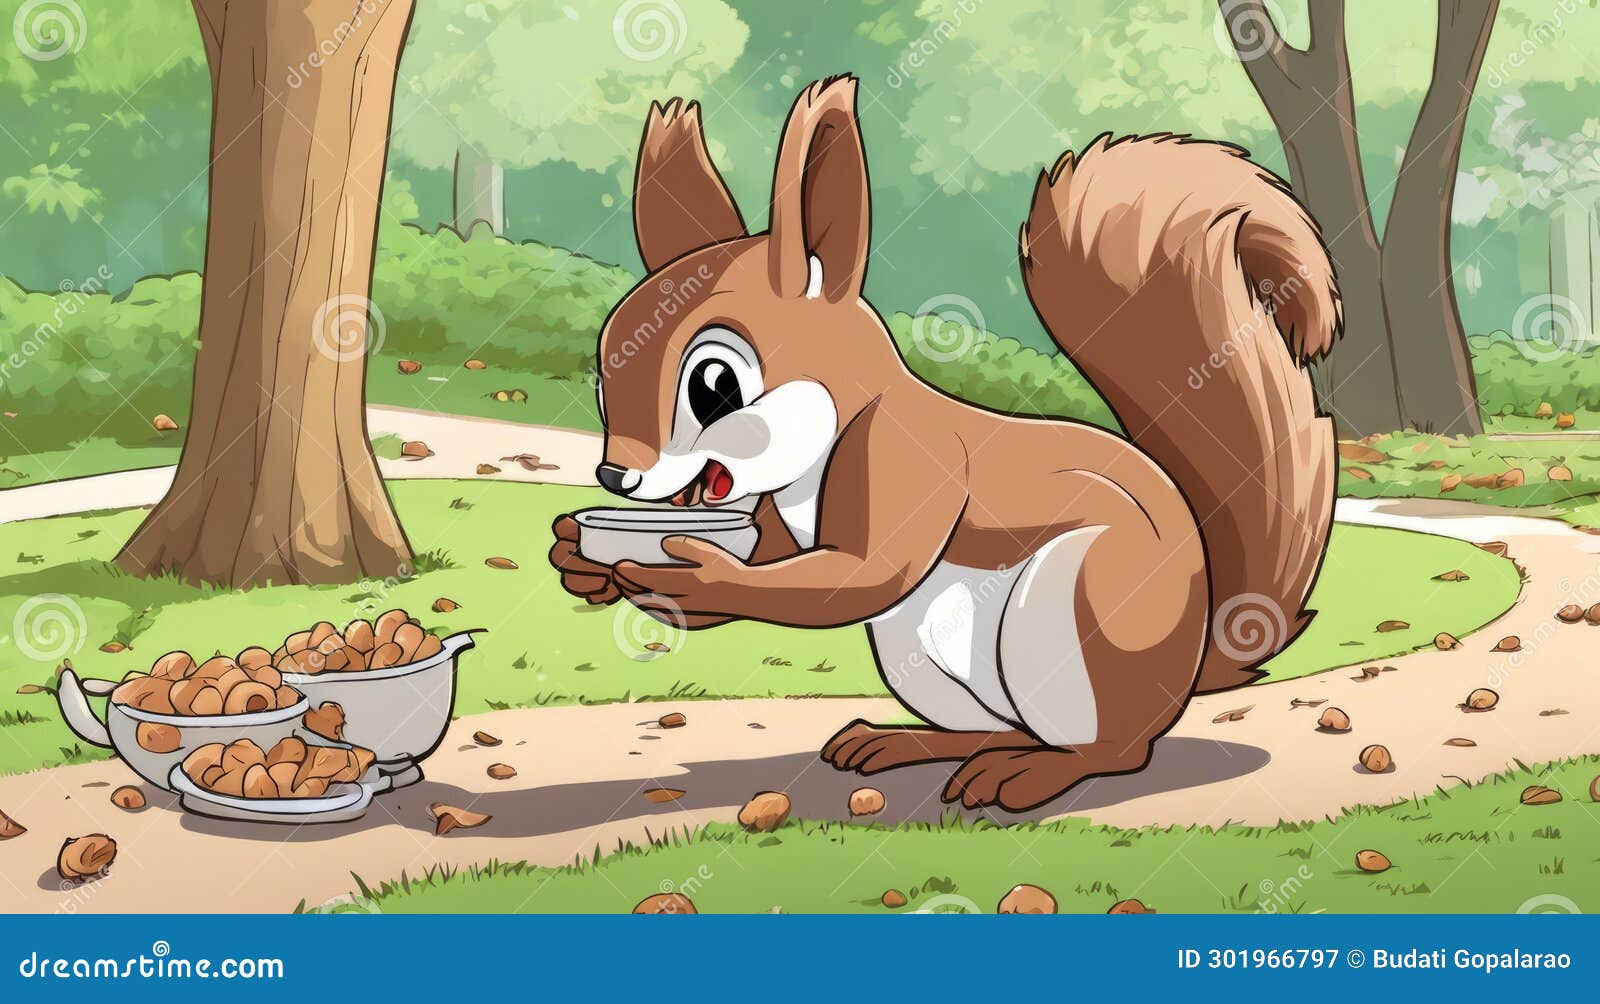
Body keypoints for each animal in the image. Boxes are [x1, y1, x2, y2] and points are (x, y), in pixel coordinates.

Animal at [549, 75, 1340, 811]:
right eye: (605, 368)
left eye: (714, 386)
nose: (615, 476)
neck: (841, 424)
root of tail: (1191, 664)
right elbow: (785, 557)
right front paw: (578, 558)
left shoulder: (907, 459)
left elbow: (863, 574)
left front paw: (699, 573)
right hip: (922, 660)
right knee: (989, 728)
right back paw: (909, 743)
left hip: (1082, 619)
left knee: (1115, 750)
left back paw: (1033, 772)